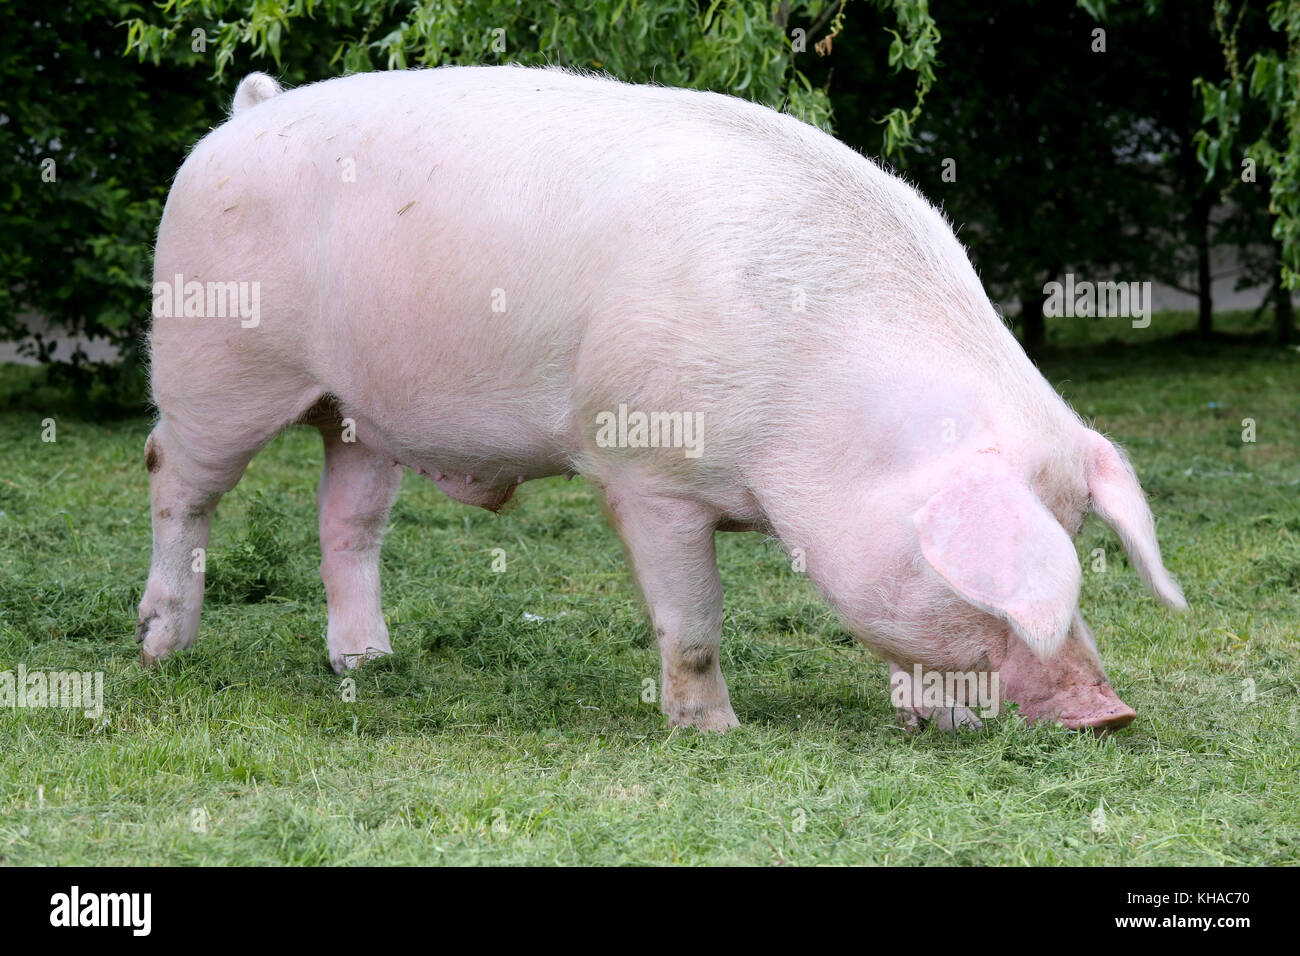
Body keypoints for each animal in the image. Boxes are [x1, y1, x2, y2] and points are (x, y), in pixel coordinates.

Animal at [137, 65, 1186, 733]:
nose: (1112, 711)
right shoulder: (647, 472)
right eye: (985, 583)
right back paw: (160, 650)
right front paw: (714, 732)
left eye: (1082, 540)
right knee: (174, 483)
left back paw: (369, 664)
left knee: (347, 519)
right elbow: (692, 620)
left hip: (363, 412)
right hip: (211, 362)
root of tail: (245, 115)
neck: (813, 421)